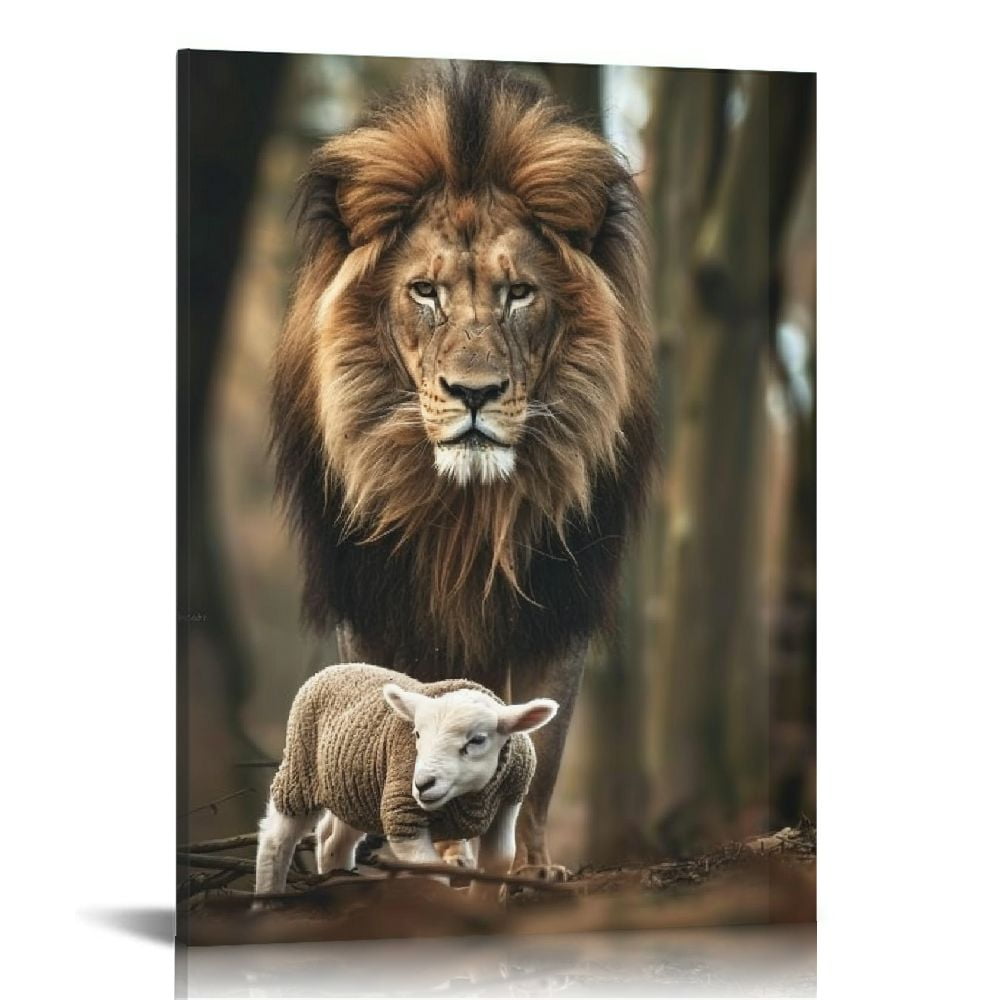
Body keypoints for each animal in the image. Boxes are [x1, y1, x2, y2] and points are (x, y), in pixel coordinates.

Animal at [253, 663, 558, 901]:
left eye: (478, 740)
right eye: (417, 734)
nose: (423, 784)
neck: (468, 798)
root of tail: (335, 667)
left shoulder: (506, 805)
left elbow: (499, 861)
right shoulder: (402, 816)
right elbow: (435, 871)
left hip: (353, 791)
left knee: (332, 840)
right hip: (299, 773)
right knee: (275, 840)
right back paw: (267, 902)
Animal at [271, 64, 656, 877]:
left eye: (519, 293)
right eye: (426, 291)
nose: (474, 392)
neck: (466, 512)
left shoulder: (557, 601)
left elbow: (542, 746)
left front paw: (528, 867)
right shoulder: (372, 598)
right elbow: (397, 714)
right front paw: (425, 851)